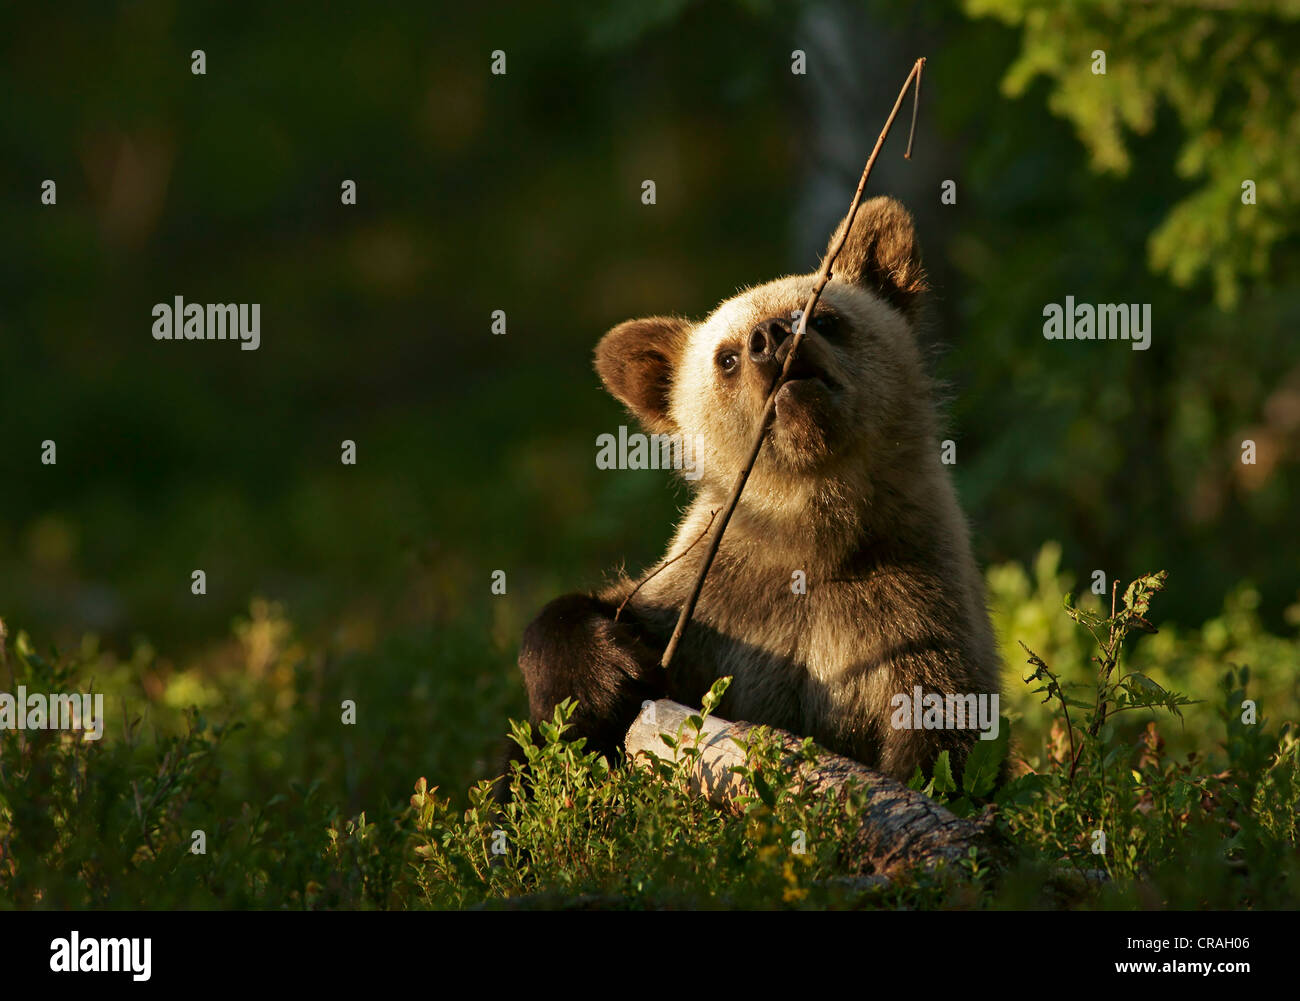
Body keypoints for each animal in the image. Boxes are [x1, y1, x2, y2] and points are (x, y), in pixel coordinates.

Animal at [513, 196, 1000, 786]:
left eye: (827, 318)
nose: (770, 338)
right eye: (725, 357)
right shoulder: (714, 611)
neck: (813, 531)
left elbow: (945, 735)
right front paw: (605, 673)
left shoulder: (914, 612)